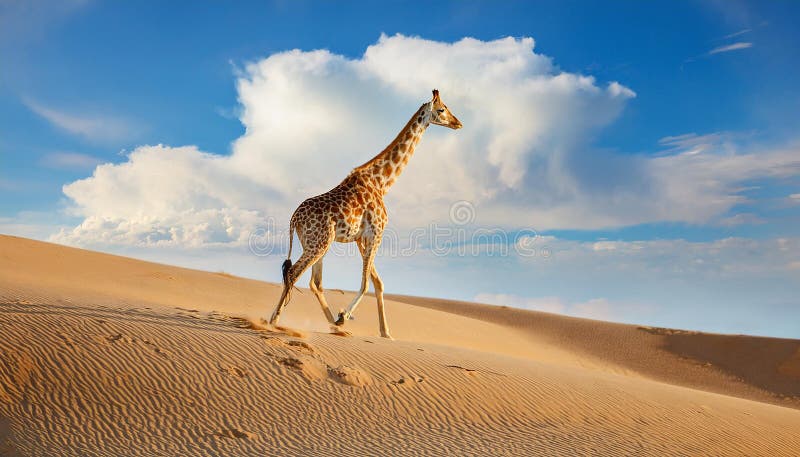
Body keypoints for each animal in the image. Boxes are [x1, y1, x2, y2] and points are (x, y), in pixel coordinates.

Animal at [268, 89, 462, 339]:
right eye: (442, 109)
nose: (458, 123)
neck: (382, 183)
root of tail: (293, 219)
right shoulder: (376, 232)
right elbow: (367, 283)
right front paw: (345, 315)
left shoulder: (361, 237)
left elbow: (377, 282)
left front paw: (385, 333)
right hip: (317, 244)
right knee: (293, 273)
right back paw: (276, 320)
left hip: (319, 244)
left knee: (315, 282)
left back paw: (333, 324)